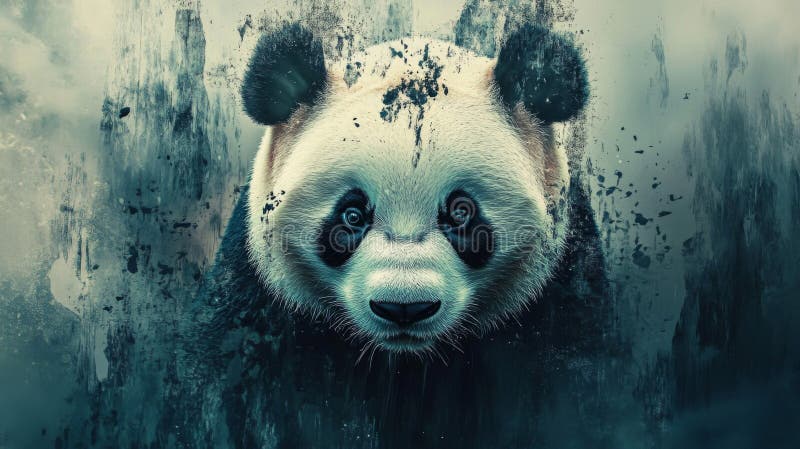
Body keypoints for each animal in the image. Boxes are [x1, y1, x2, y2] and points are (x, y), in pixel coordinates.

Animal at [183, 22, 615, 449]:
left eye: (461, 213)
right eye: (352, 215)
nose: (404, 307)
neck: (404, 364)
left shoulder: (560, 303)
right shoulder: (260, 311)